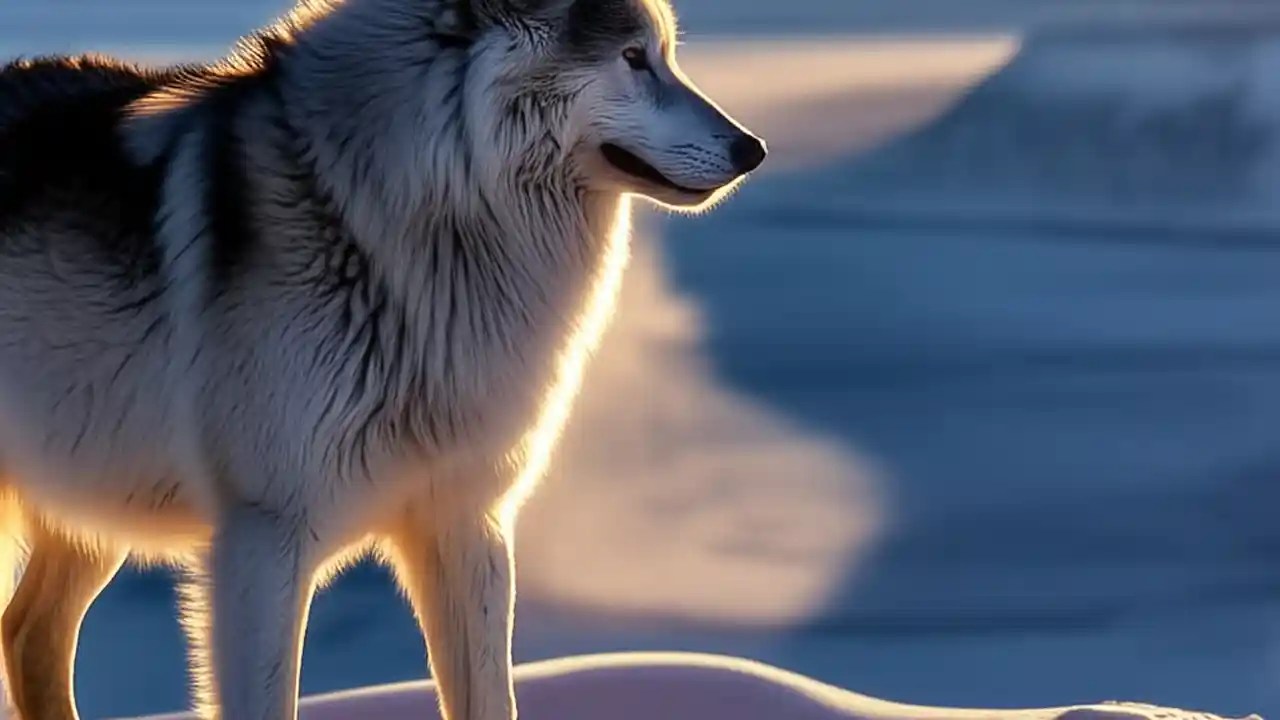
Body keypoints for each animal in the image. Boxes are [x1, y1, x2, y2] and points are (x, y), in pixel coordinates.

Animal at [0, 0, 764, 718]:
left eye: (665, 54)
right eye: (634, 57)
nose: (751, 148)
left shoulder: (467, 522)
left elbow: (491, 699)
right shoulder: (262, 541)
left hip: (90, 513)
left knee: (28, 634)